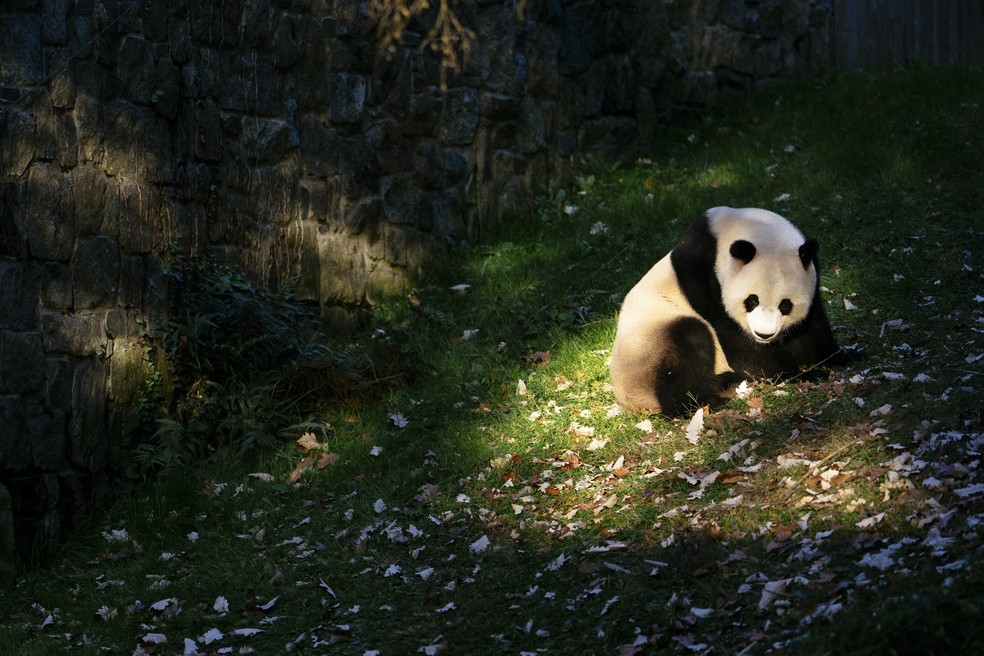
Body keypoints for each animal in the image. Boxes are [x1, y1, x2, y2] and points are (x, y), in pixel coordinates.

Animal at [609, 206, 844, 416]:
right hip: (647, 341)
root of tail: (631, 402)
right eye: (752, 300)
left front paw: (837, 357)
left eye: (785, 305)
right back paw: (707, 400)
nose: (764, 334)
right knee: (685, 345)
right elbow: (738, 342)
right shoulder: (704, 279)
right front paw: (800, 373)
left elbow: (811, 326)